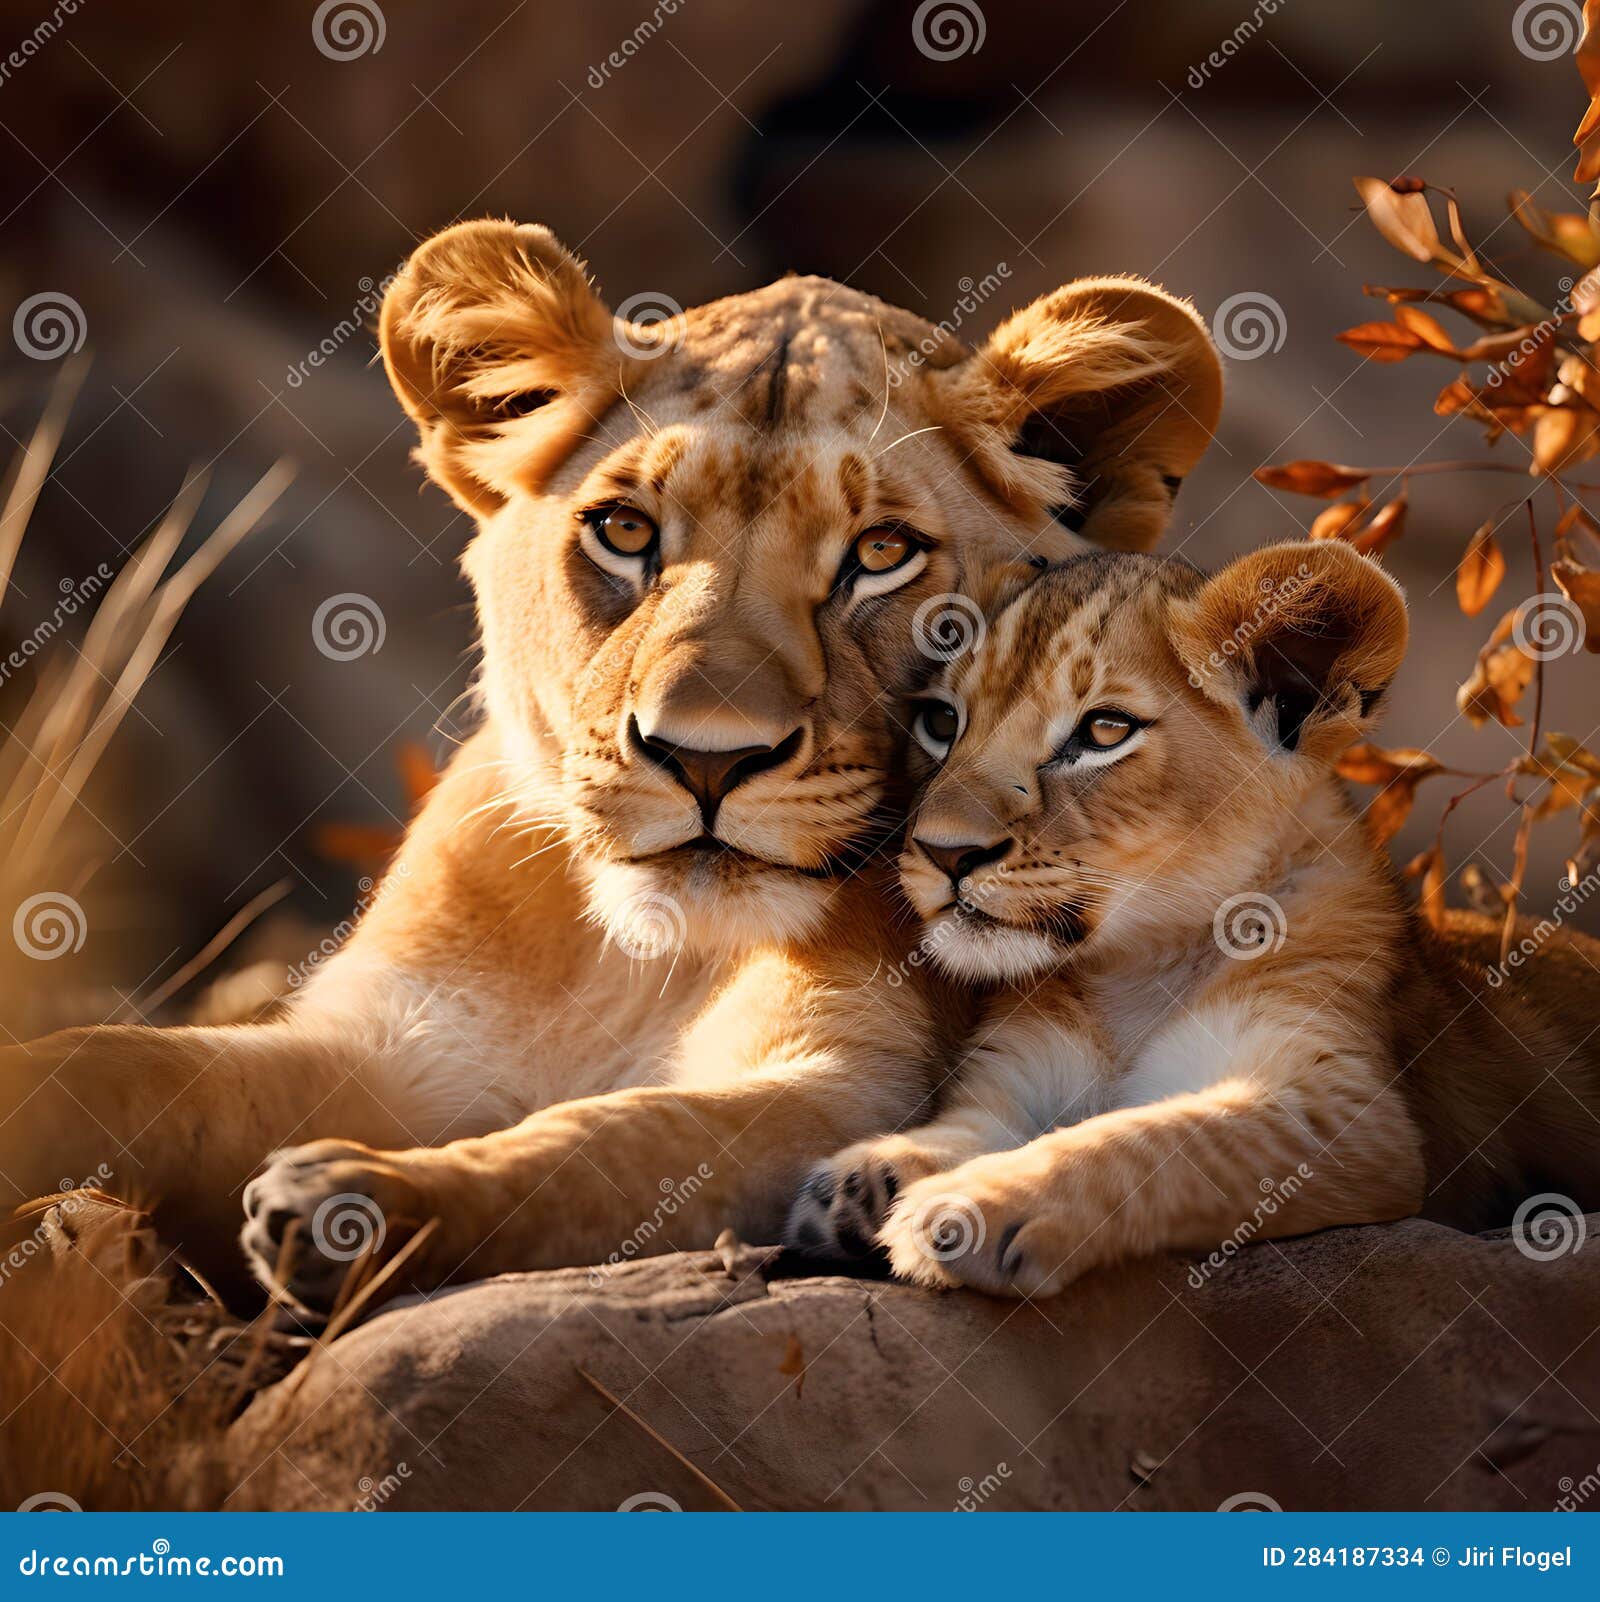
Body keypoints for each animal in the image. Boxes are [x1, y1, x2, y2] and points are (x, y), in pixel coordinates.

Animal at [0, 220, 1223, 1308]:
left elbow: (598, 1141)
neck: (631, 961)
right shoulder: (389, 1042)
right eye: (626, 532)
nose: (705, 759)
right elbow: (118, 1063)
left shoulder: (848, 1084)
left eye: (881, 554)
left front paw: (361, 1200)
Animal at [785, 541, 1600, 1295]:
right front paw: (866, 1179)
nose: (944, 852)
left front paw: (970, 1205)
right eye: (941, 720)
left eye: (1104, 732)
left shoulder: (1346, 1114)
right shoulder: (1017, 1080)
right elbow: (967, 1127)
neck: (1139, 969)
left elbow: (1150, 1139)